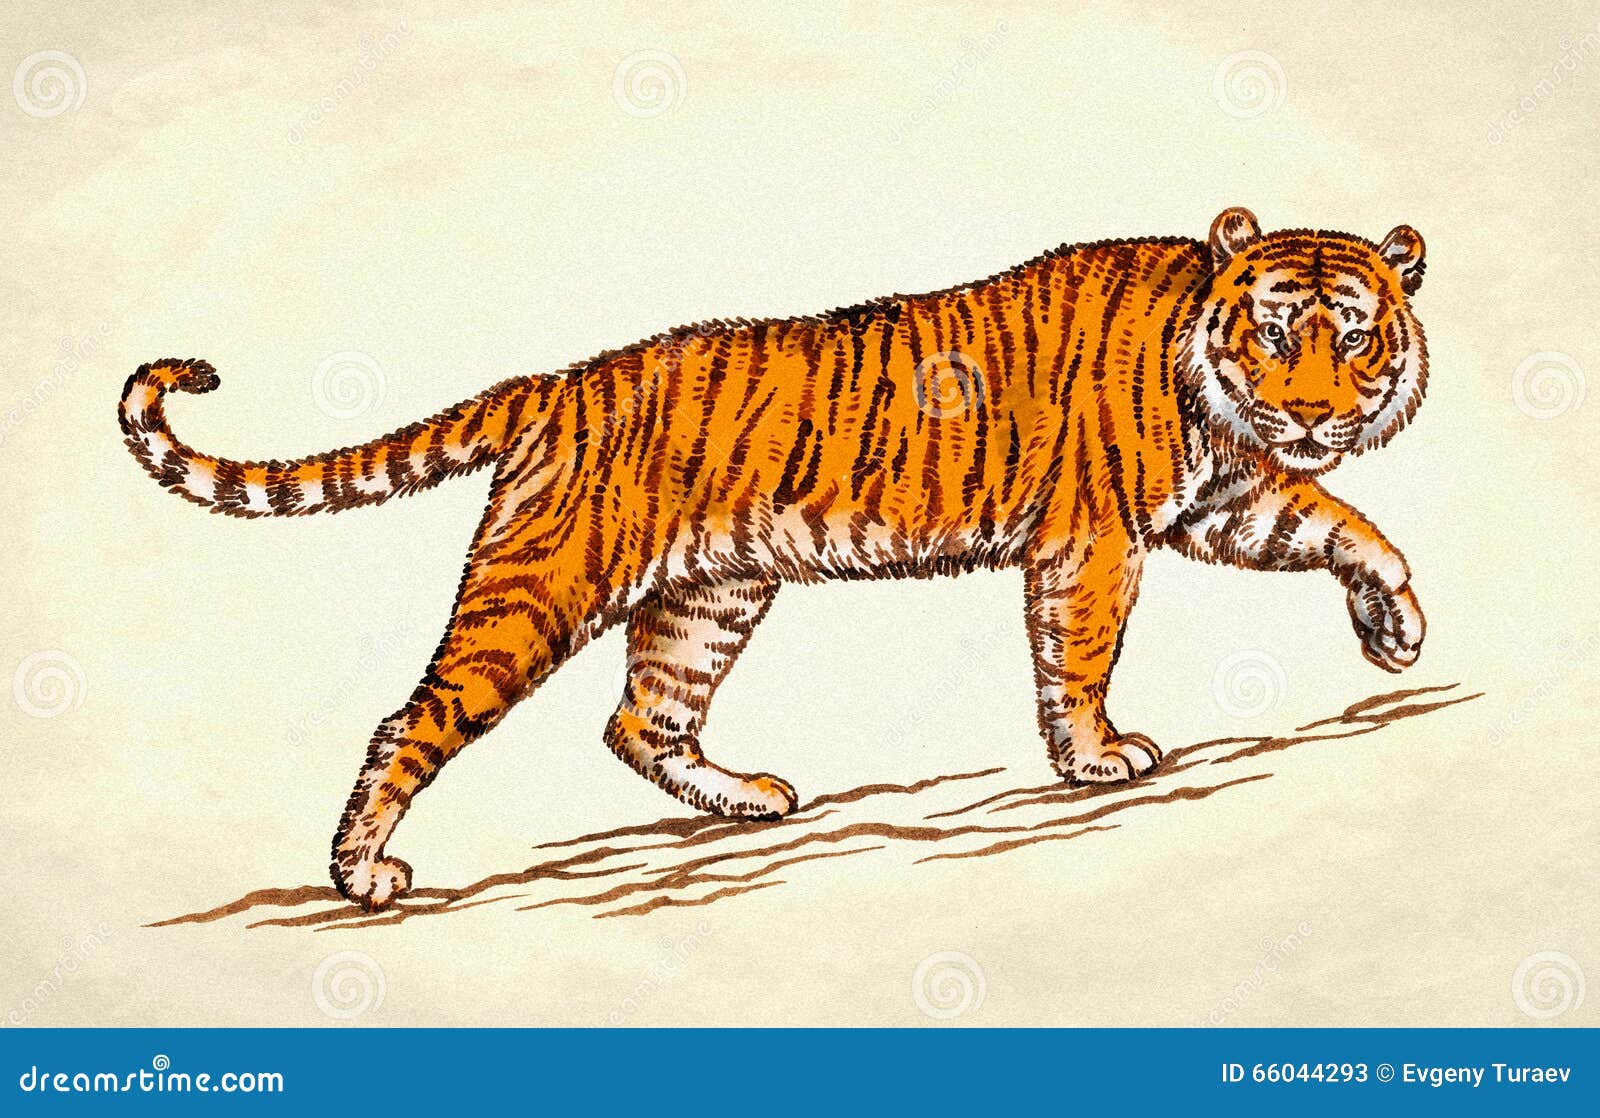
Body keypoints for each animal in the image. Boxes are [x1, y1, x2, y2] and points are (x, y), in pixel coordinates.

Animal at [119, 207, 1428, 910]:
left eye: (1355, 338)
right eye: (1272, 333)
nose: (1312, 412)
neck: (1217, 399)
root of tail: (556, 380)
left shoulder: (1227, 500)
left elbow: (1346, 526)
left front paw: (1397, 625)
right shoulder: (1096, 537)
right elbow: (1081, 656)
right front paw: (1097, 756)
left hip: (709, 595)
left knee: (639, 720)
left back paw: (745, 797)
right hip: (535, 592)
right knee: (413, 720)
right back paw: (361, 874)